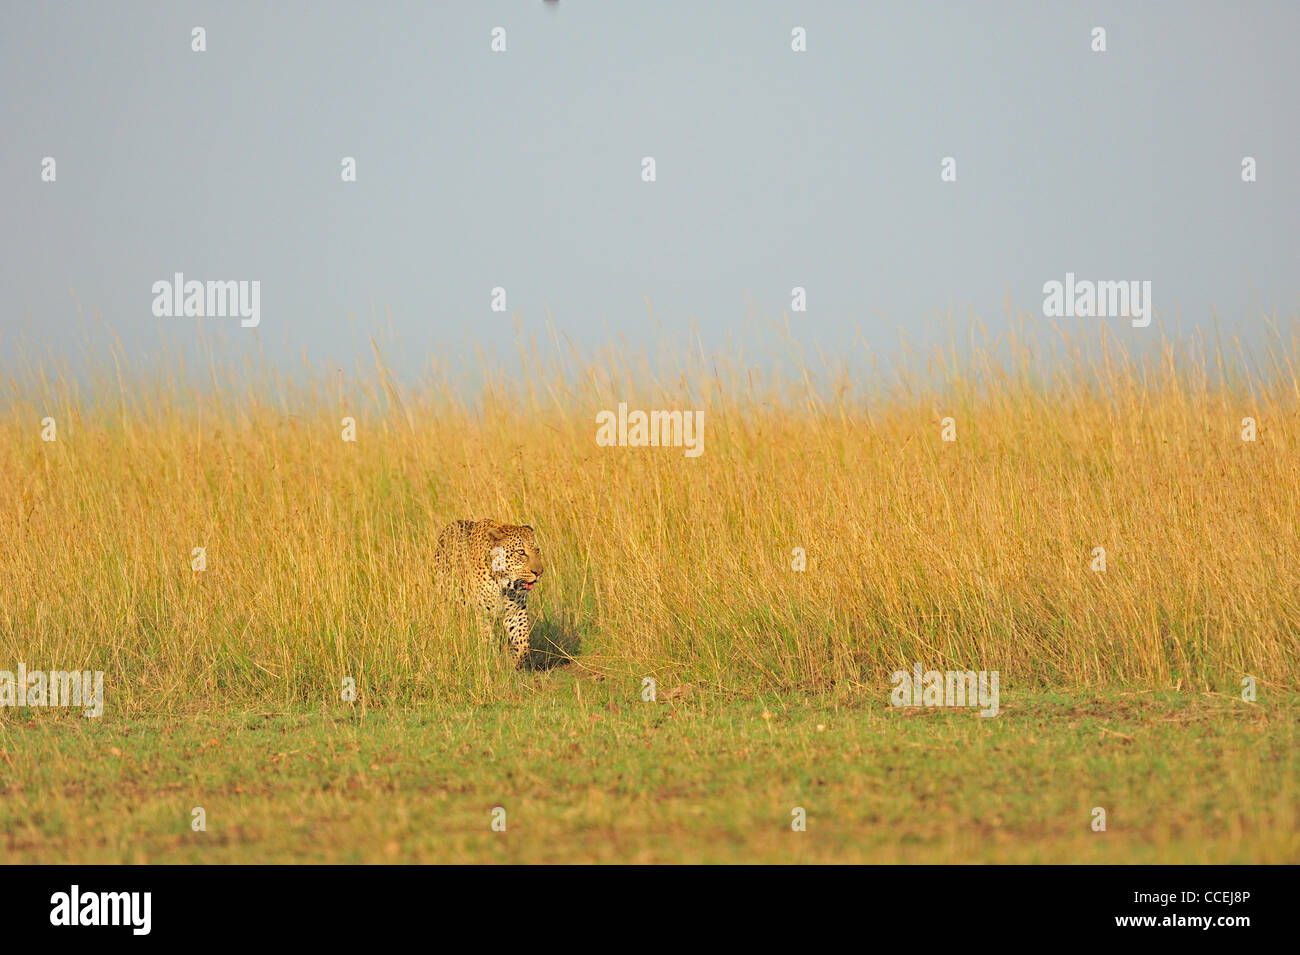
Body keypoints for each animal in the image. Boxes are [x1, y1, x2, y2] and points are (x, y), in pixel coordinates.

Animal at [434, 519, 544, 666]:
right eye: (521, 552)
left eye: (537, 550)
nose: (539, 572)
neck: (503, 583)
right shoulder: (482, 612)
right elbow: (486, 638)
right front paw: (491, 659)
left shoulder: (515, 610)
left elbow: (523, 642)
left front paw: (513, 663)